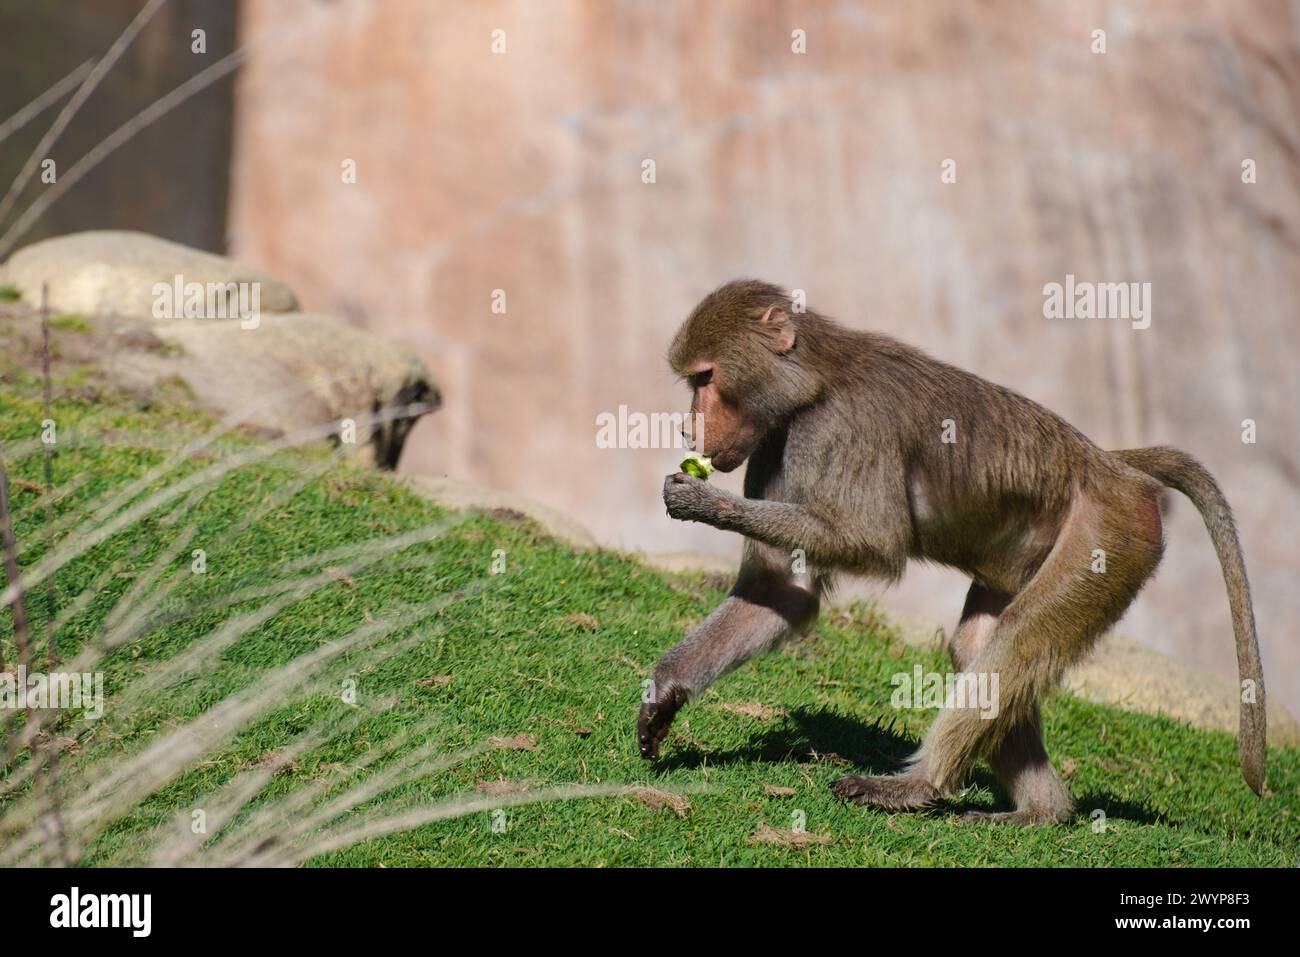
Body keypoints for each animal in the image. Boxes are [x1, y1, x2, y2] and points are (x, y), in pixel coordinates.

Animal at [638, 279, 1266, 825]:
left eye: (706, 377)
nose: (689, 429)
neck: (812, 384)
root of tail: (1108, 464)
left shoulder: (846, 427)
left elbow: (876, 543)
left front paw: (702, 502)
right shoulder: (772, 444)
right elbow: (780, 590)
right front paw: (663, 693)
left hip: (1109, 533)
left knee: (1016, 644)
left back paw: (918, 788)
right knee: (978, 647)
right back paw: (1042, 813)